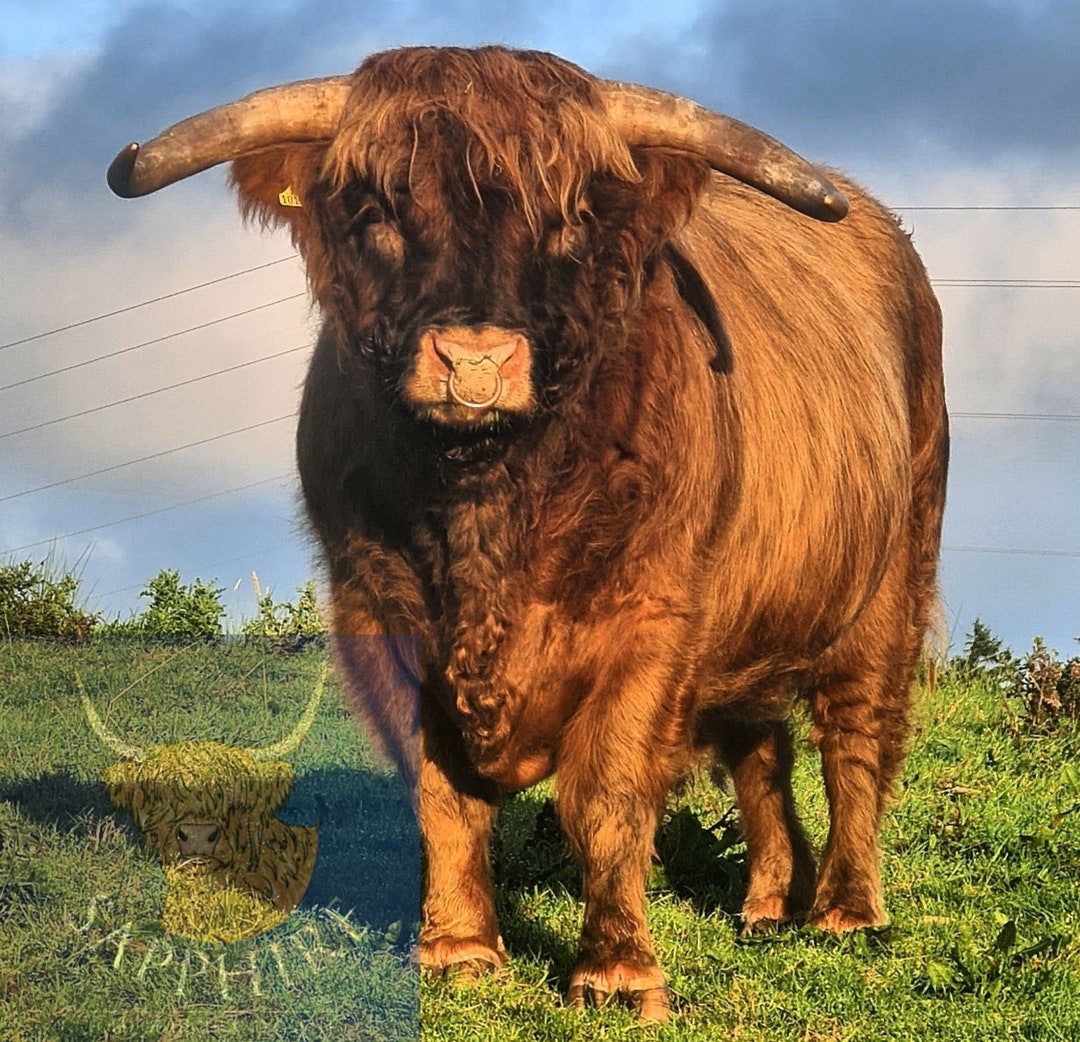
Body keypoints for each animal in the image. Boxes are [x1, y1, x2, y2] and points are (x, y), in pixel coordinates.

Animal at [107, 45, 948, 1018]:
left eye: (572, 218)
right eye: (377, 210)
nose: (475, 361)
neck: (486, 513)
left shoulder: (654, 619)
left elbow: (608, 795)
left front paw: (618, 970)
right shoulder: (375, 614)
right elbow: (441, 796)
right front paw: (458, 949)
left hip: (892, 579)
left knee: (855, 736)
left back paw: (847, 910)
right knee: (759, 746)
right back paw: (770, 904)